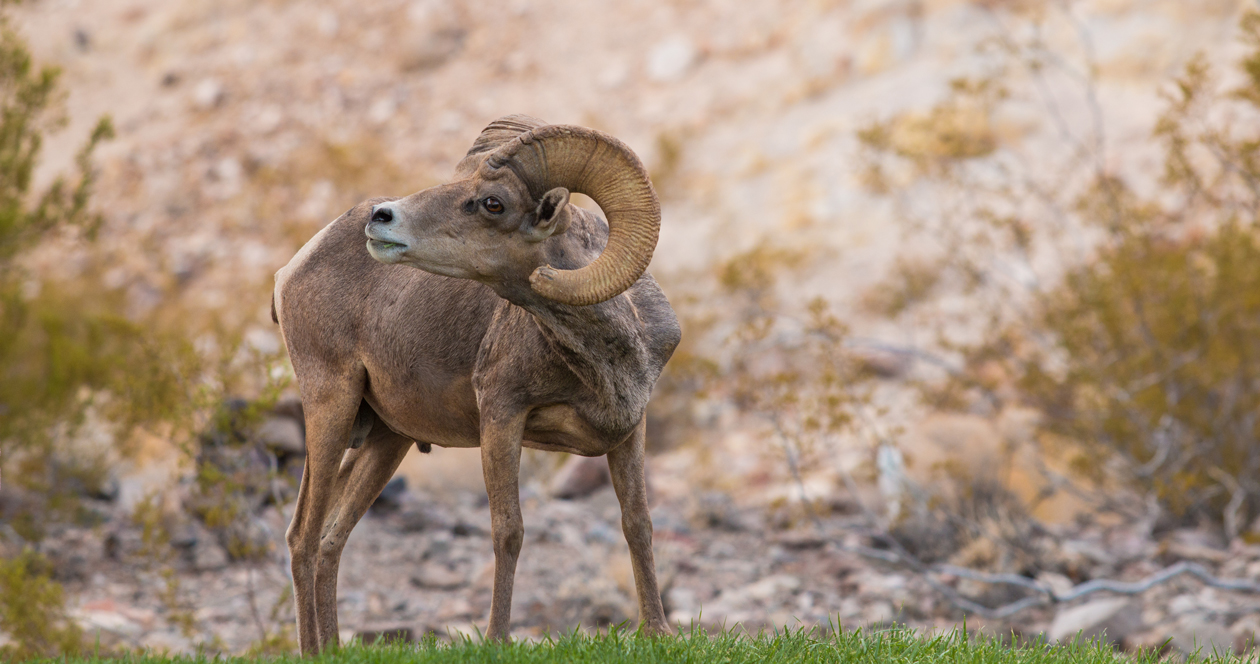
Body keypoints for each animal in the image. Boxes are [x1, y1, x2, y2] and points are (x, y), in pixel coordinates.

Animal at [272, 115, 680, 652]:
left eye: (493, 203)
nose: (381, 217)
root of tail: (291, 270)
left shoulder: (630, 429)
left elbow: (638, 523)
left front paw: (658, 632)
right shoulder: (502, 418)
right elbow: (509, 531)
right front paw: (497, 638)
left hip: (386, 440)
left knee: (330, 540)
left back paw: (337, 649)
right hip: (330, 409)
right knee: (303, 536)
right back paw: (315, 651)